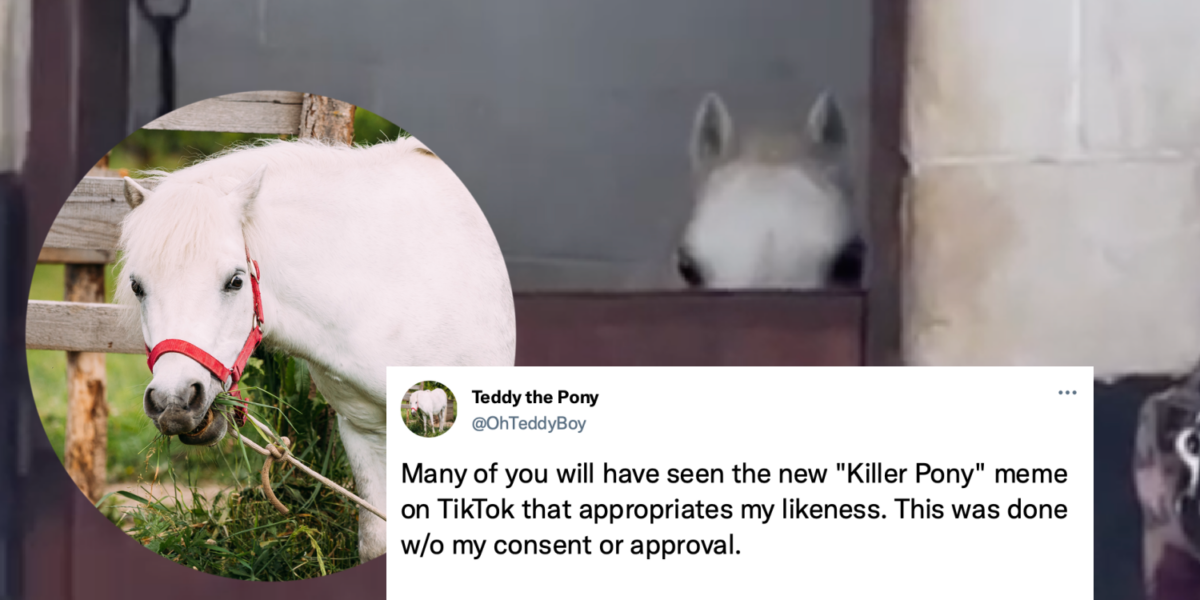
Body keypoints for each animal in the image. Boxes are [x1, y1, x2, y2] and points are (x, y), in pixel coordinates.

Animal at [115, 135, 516, 564]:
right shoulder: (365, 429)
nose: (174, 403)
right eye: (138, 286)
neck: (394, 281)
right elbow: (378, 541)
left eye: (235, 281)